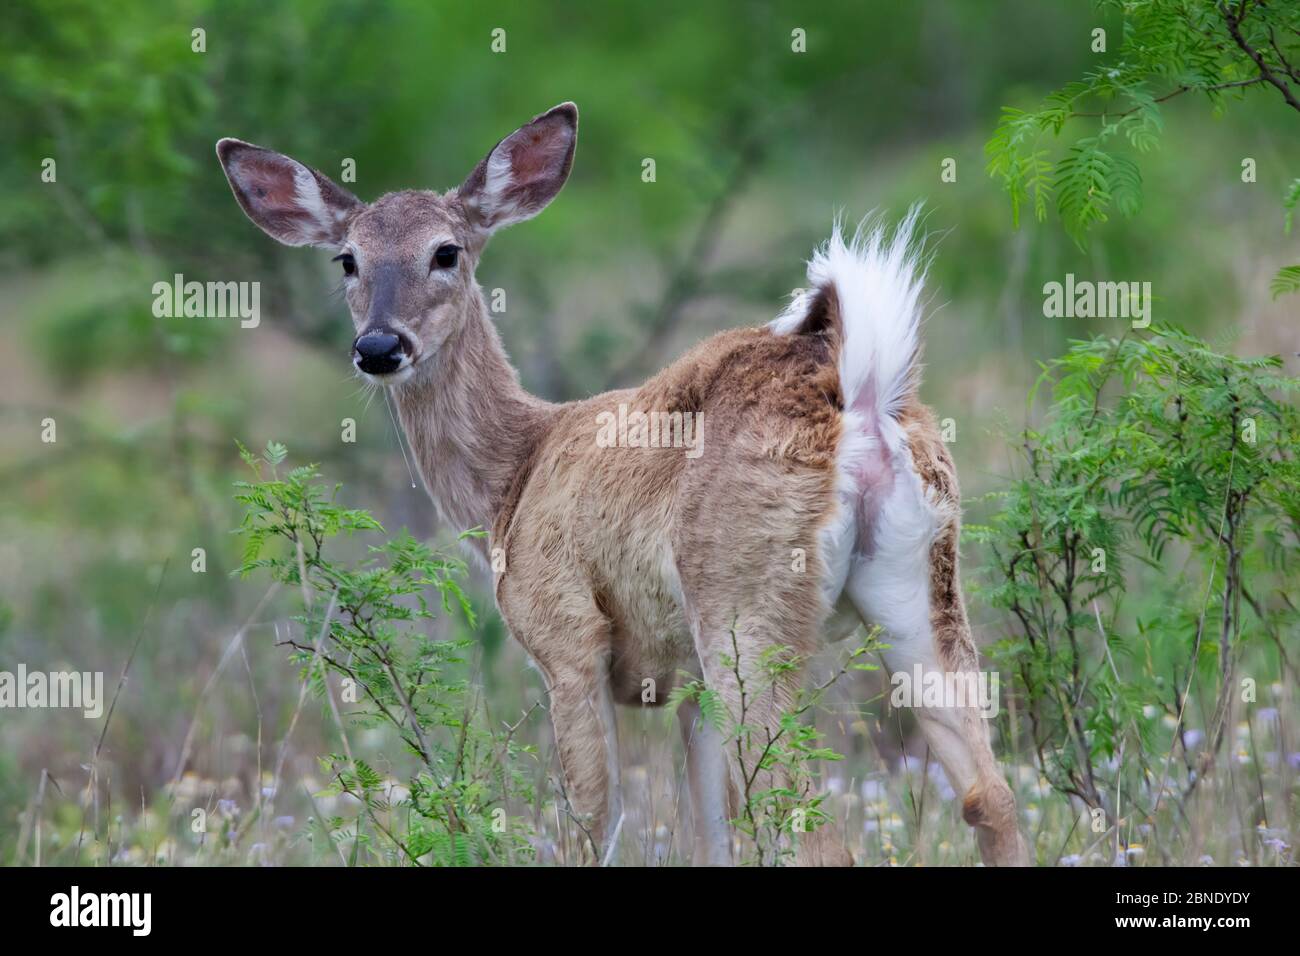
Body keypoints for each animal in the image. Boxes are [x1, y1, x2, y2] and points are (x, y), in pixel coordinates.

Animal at [217, 102, 1028, 867]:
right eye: (346, 259)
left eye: (446, 251)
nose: (380, 345)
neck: (514, 478)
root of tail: (857, 392)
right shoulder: (689, 686)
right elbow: (711, 838)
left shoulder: (567, 640)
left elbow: (593, 827)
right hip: (921, 586)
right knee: (991, 795)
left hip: (744, 607)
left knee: (821, 834)